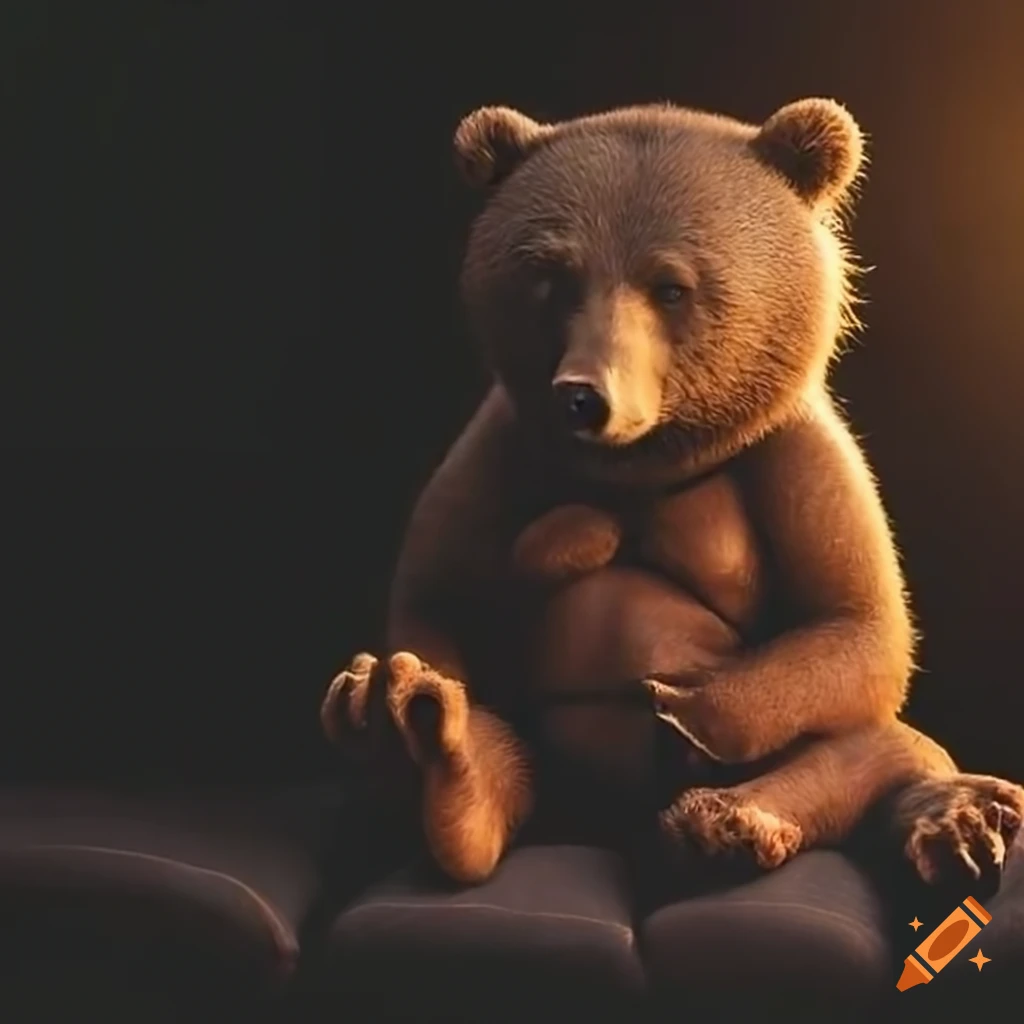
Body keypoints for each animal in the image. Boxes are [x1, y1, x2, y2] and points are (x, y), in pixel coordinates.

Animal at [321, 98, 1024, 886]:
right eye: (554, 277)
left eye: (671, 287)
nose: (583, 396)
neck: (643, 462)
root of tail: (601, 819)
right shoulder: (497, 442)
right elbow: (435, 595)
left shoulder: (796, 451)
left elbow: (861, 626)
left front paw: (681, 697)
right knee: (495, 742)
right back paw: (434, 755)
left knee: (884, 749)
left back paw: (738, 822)